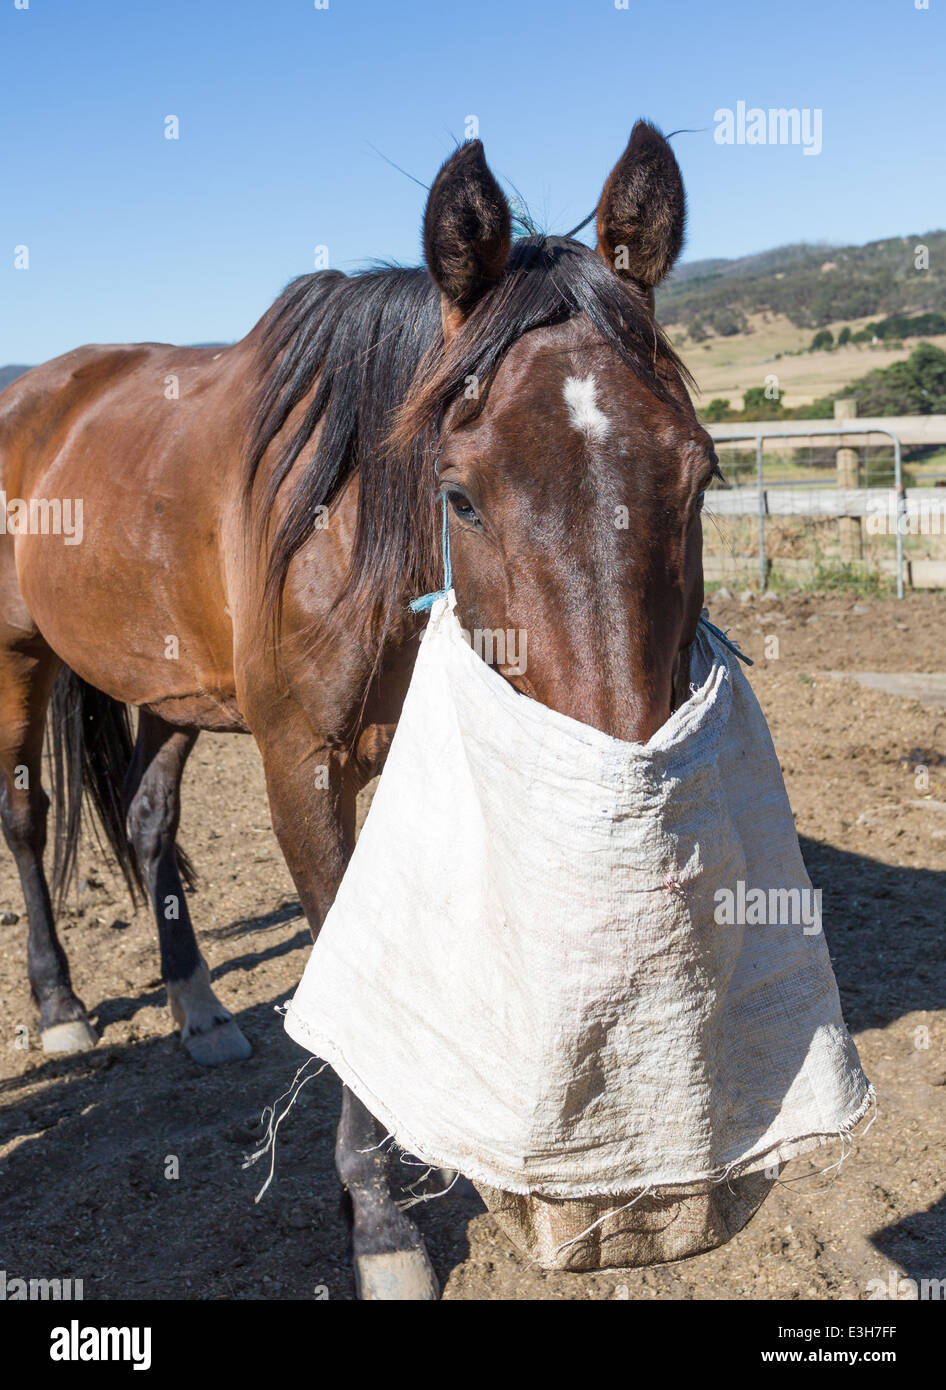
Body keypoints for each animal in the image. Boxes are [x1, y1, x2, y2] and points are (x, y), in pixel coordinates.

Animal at [0, 121, 719, 1297]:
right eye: (461, 494)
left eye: (699, 481)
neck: (353, 532)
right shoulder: (302, 762)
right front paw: (379, 1215)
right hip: (20, 659)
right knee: (24, 817)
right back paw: (59, 1008)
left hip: (173, 689)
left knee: (148, 822)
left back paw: (198, 1009)